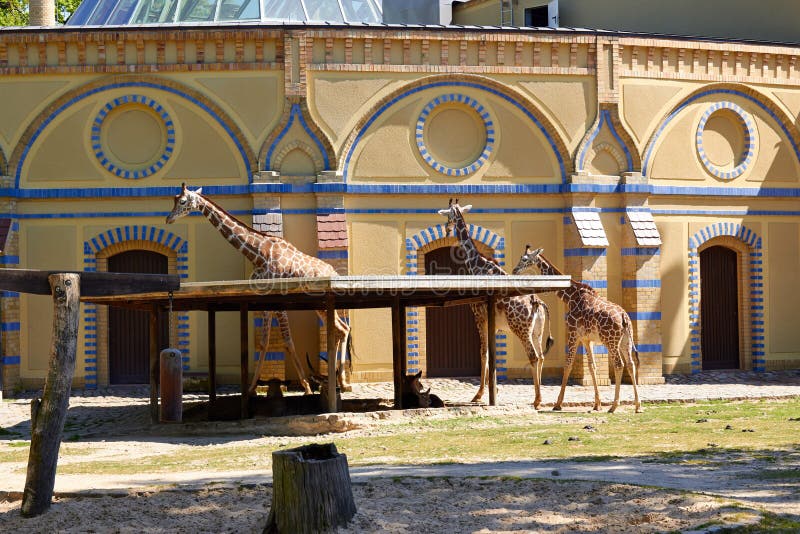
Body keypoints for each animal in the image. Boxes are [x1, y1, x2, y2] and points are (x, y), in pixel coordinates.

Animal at [166, 184, 351, 394]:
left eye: (182, 201)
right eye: (173, 199)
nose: (168, 219)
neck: (259, 254)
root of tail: (334, 272)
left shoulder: (279, 298)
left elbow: (288, 341)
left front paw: (306, 387)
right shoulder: (265, 298)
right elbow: (264, 343)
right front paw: (252, 386)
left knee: (343, 328)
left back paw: (342, 382)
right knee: (339, 330)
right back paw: (335, 380)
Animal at [437, 200, 554, 408]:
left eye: (448, 214)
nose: (447, 229)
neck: (477, 265)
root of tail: (537, 302)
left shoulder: (479, 317)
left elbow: (483, 353)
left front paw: (479, 394)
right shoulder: (496, 325)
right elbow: (494, 355)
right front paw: (494, 391)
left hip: (521, 329)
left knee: (533, 356)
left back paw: (537, 400)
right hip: (537, 331)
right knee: (540, 356)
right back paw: (538, 398)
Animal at [513, 245, 642, 413]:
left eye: (524, 259)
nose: (515, 270)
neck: (571, 298)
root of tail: (624, 317)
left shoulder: (573, 332)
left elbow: (568, 364)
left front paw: (558, 404)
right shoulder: (587, 339)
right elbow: (592, 367)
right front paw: (597, 404)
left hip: (610, 341)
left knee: (619, 365)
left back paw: (614, 406)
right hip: (625, 341)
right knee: (631, 365)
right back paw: (638, 406)